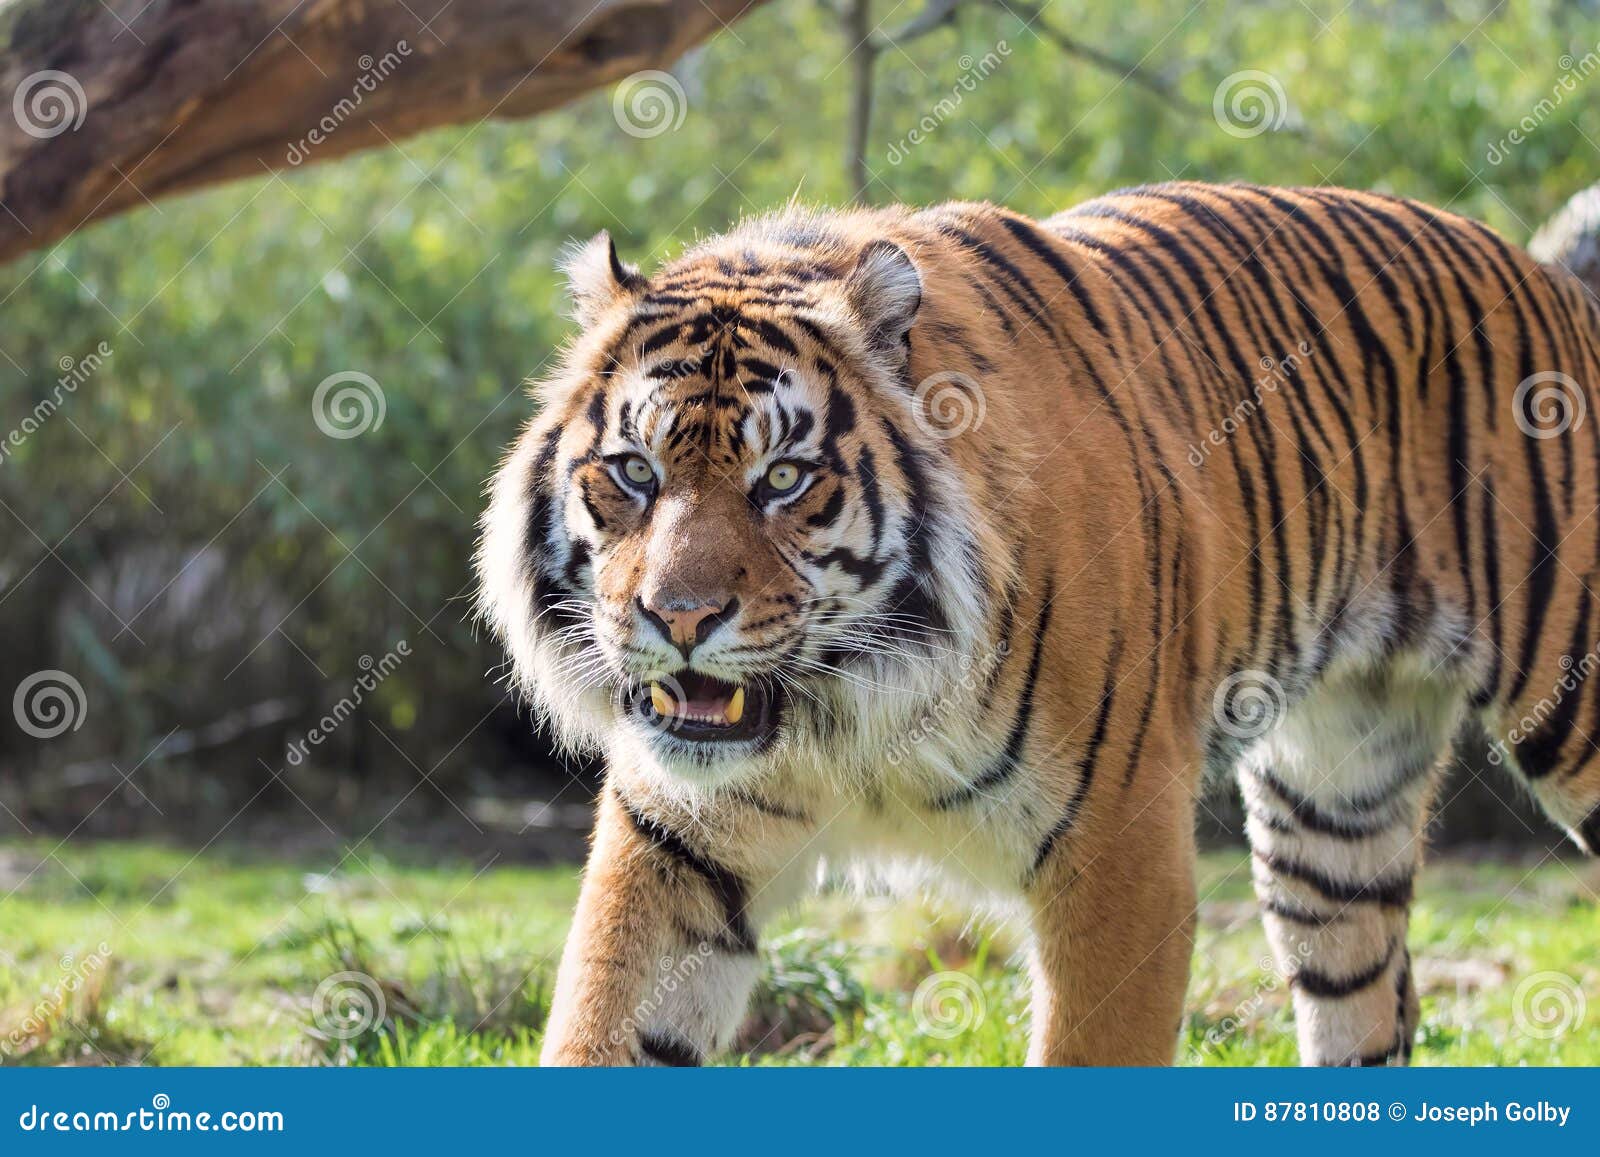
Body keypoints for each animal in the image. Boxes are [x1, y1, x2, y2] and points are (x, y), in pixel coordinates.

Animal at [475, 181, 1600, 1067]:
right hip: (1331, 810)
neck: (850, 708)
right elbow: (602, 1022)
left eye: (783, 479)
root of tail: (1551, 280)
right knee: (1369, 1002)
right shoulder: (675, 841)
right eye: (634, 471)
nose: (678, 616)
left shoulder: (1121, 854)